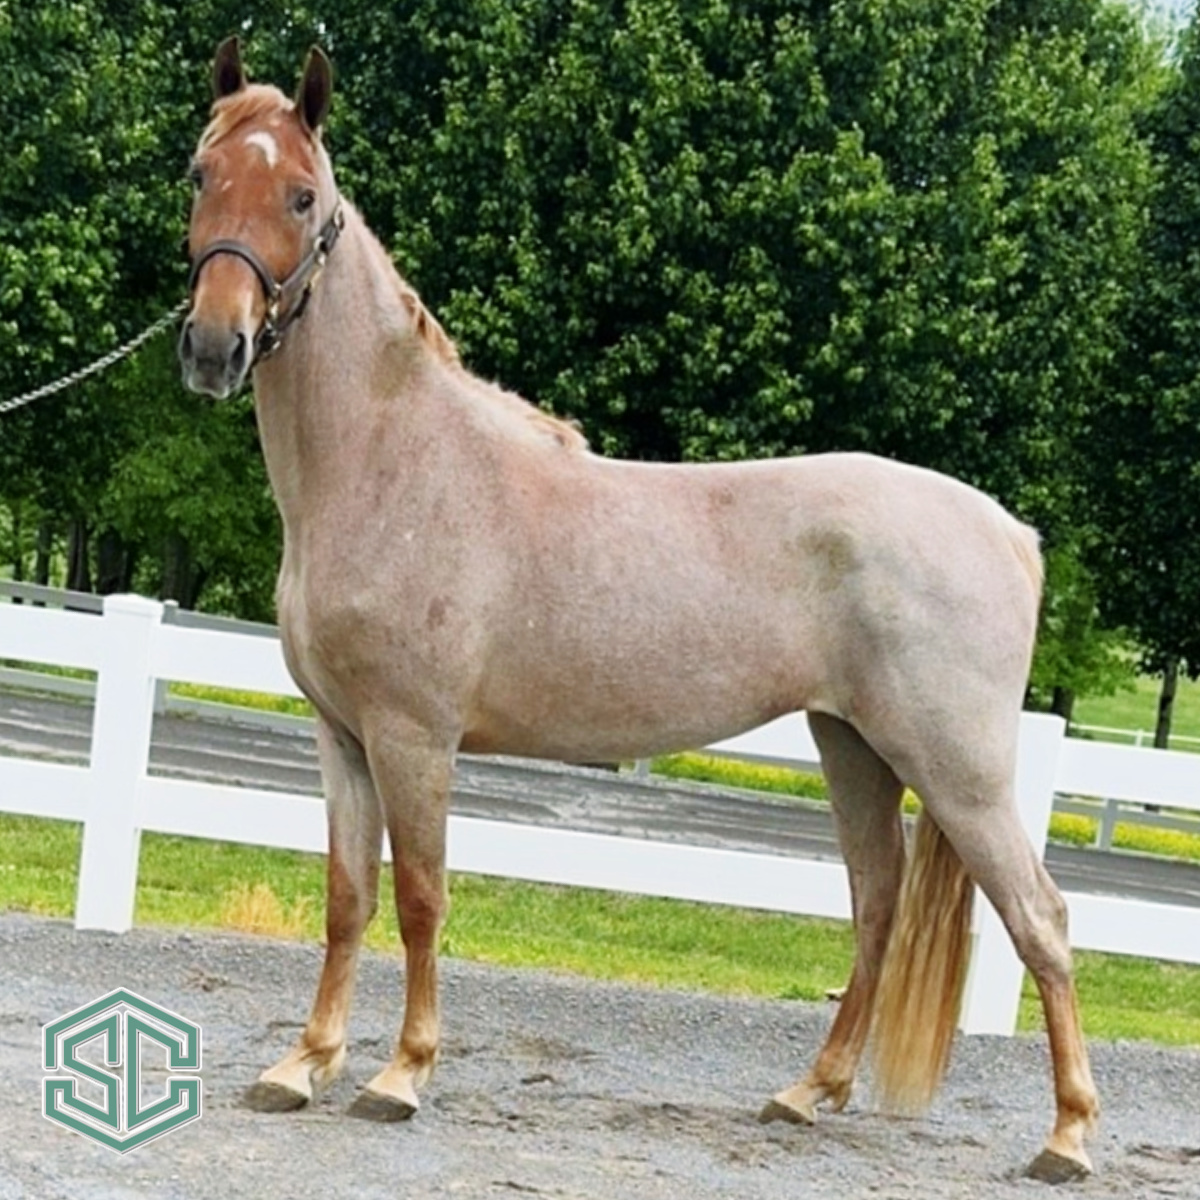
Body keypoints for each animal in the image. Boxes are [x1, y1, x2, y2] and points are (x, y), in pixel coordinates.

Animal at [178, 38, 1098, 1183]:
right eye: (201, 176)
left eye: (302, 197)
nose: (213, 347)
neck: (394, 463)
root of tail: (1012, 534)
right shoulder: (340, 735)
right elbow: (349, 897)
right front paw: (303, 1067)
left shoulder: (413, 737)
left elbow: (422, 897)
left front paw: (401, 1076)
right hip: (853, 747)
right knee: (876, 905)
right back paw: (808, 1093)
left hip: (958, 769)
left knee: (1040, 917)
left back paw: (1068, 1135)